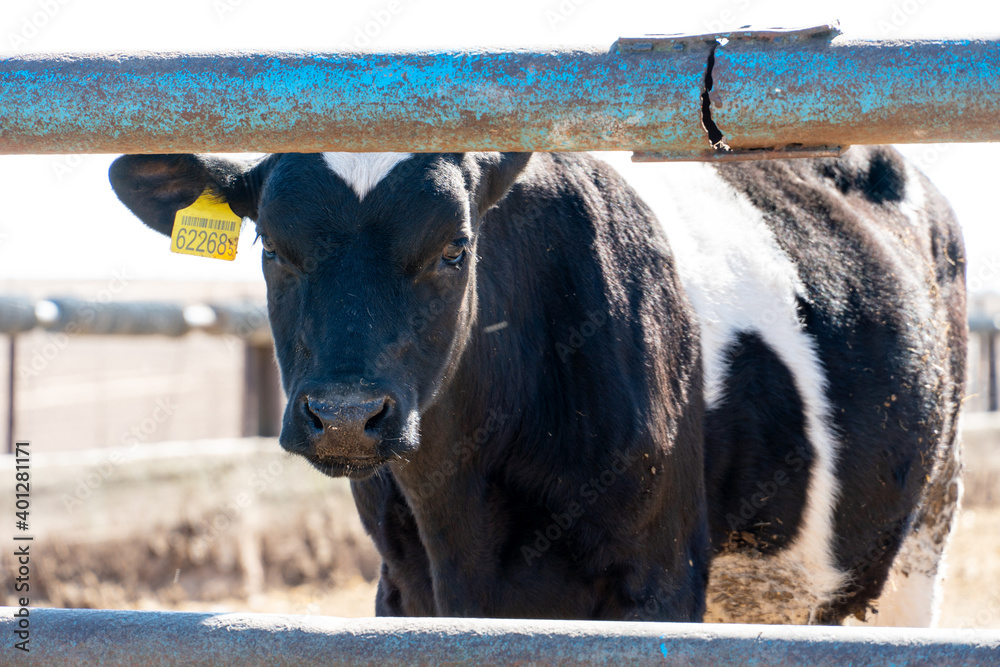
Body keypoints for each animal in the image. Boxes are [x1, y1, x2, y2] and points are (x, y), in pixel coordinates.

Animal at [109, 146, 965, 626]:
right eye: (272, 248)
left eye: (455, 248)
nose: (347, 415)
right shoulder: (404, 585)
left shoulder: (659, 580)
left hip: (922, 535)